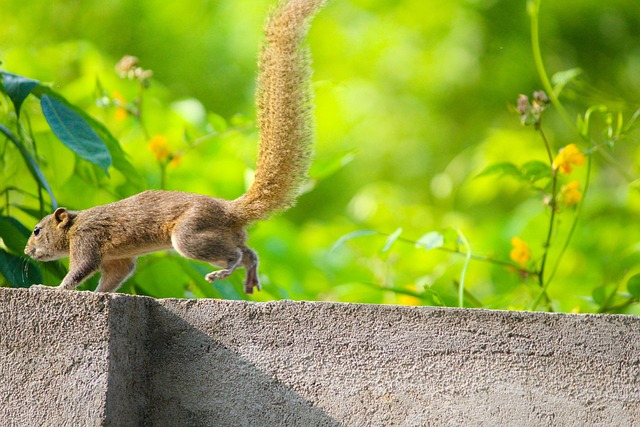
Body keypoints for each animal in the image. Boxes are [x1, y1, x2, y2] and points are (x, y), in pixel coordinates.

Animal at [24, 0, 326, 295]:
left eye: (37, 230)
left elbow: (79, 270)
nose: (27, 251)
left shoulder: (87, 241)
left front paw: (54, 287)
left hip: (190, 235)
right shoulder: (117, 259)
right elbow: (115, 276)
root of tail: (230, 211)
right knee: (250, 253)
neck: (75, 224)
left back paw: (224, 271)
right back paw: (250, 278)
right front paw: (100, 293)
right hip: (225, 235)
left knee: (235, 255)